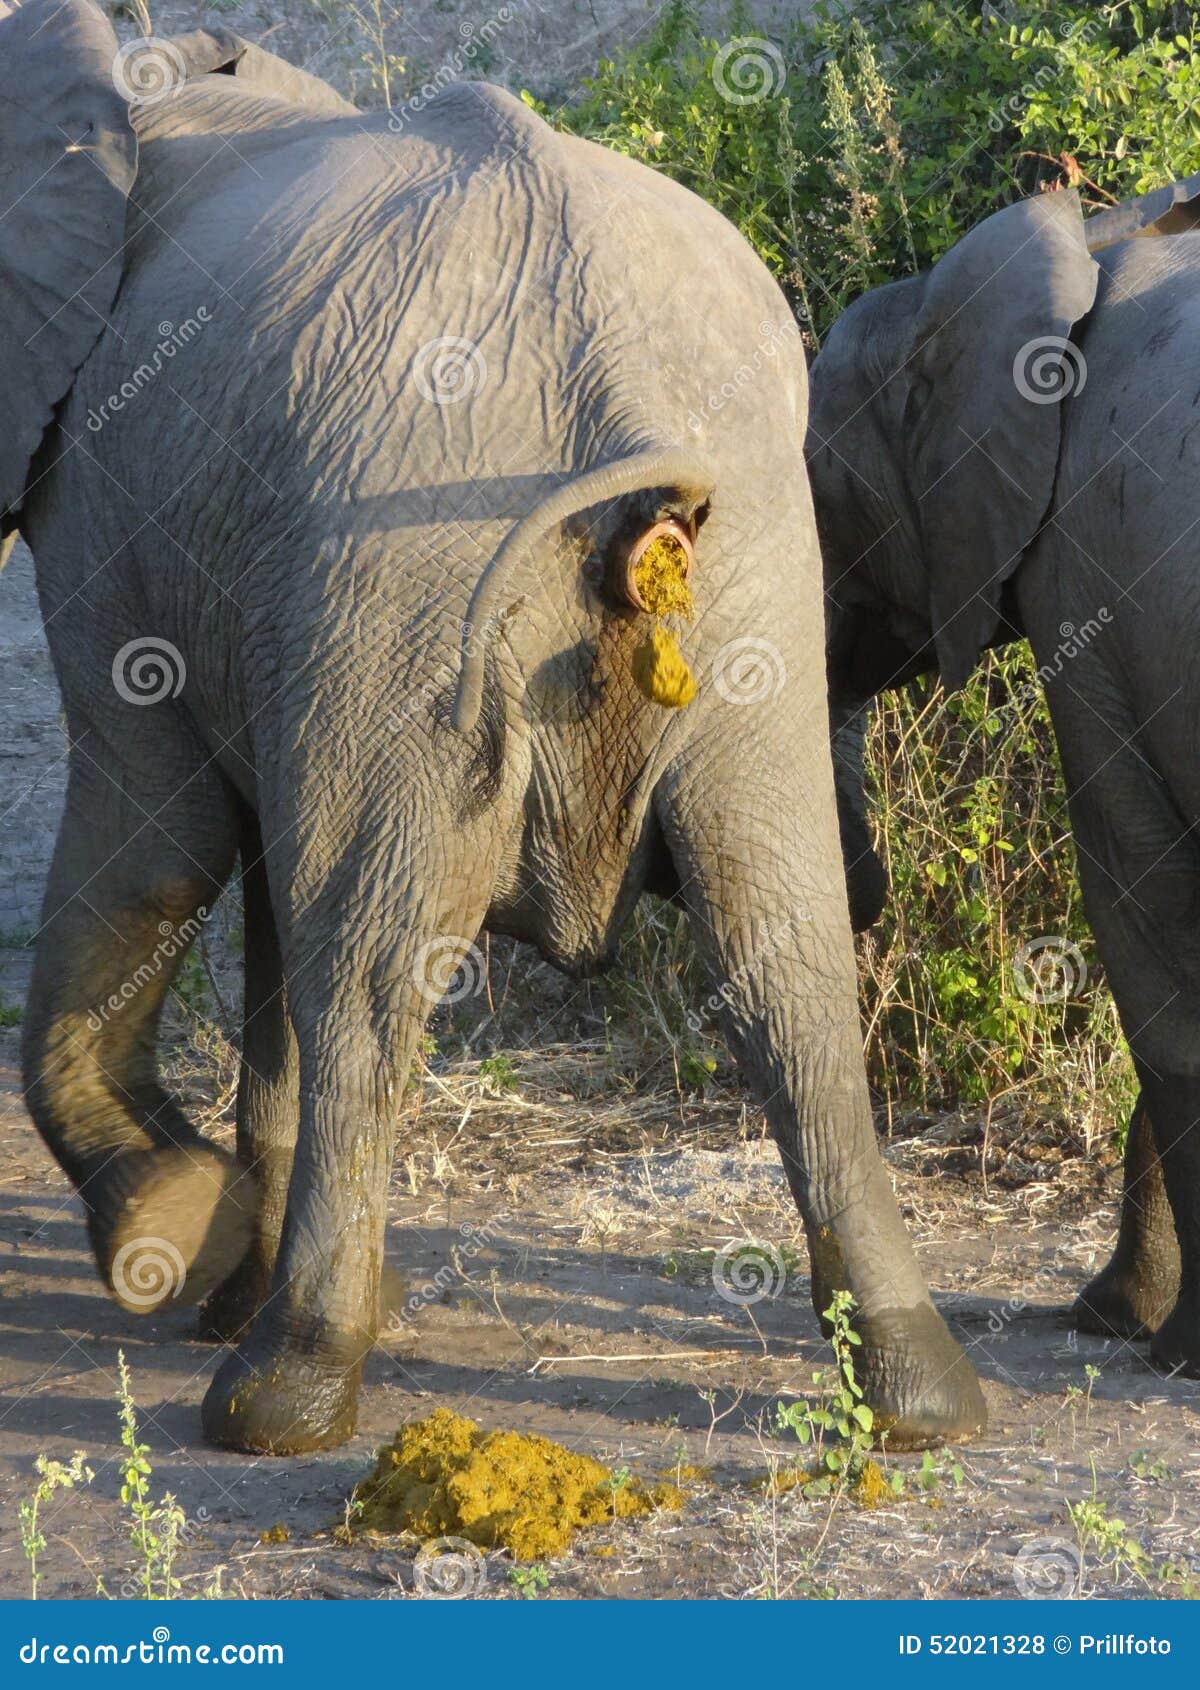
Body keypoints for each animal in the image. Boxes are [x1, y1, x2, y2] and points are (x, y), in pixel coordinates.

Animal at [1, 0, 988, 1455]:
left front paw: (173, 1239)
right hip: (739, 564)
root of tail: (613, 376)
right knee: (784, 945)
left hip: (409, 563)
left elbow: (154, 839)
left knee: (368, 964)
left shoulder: (119, 519)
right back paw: (923, 1401)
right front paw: (214, 1258)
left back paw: (278, 1399)